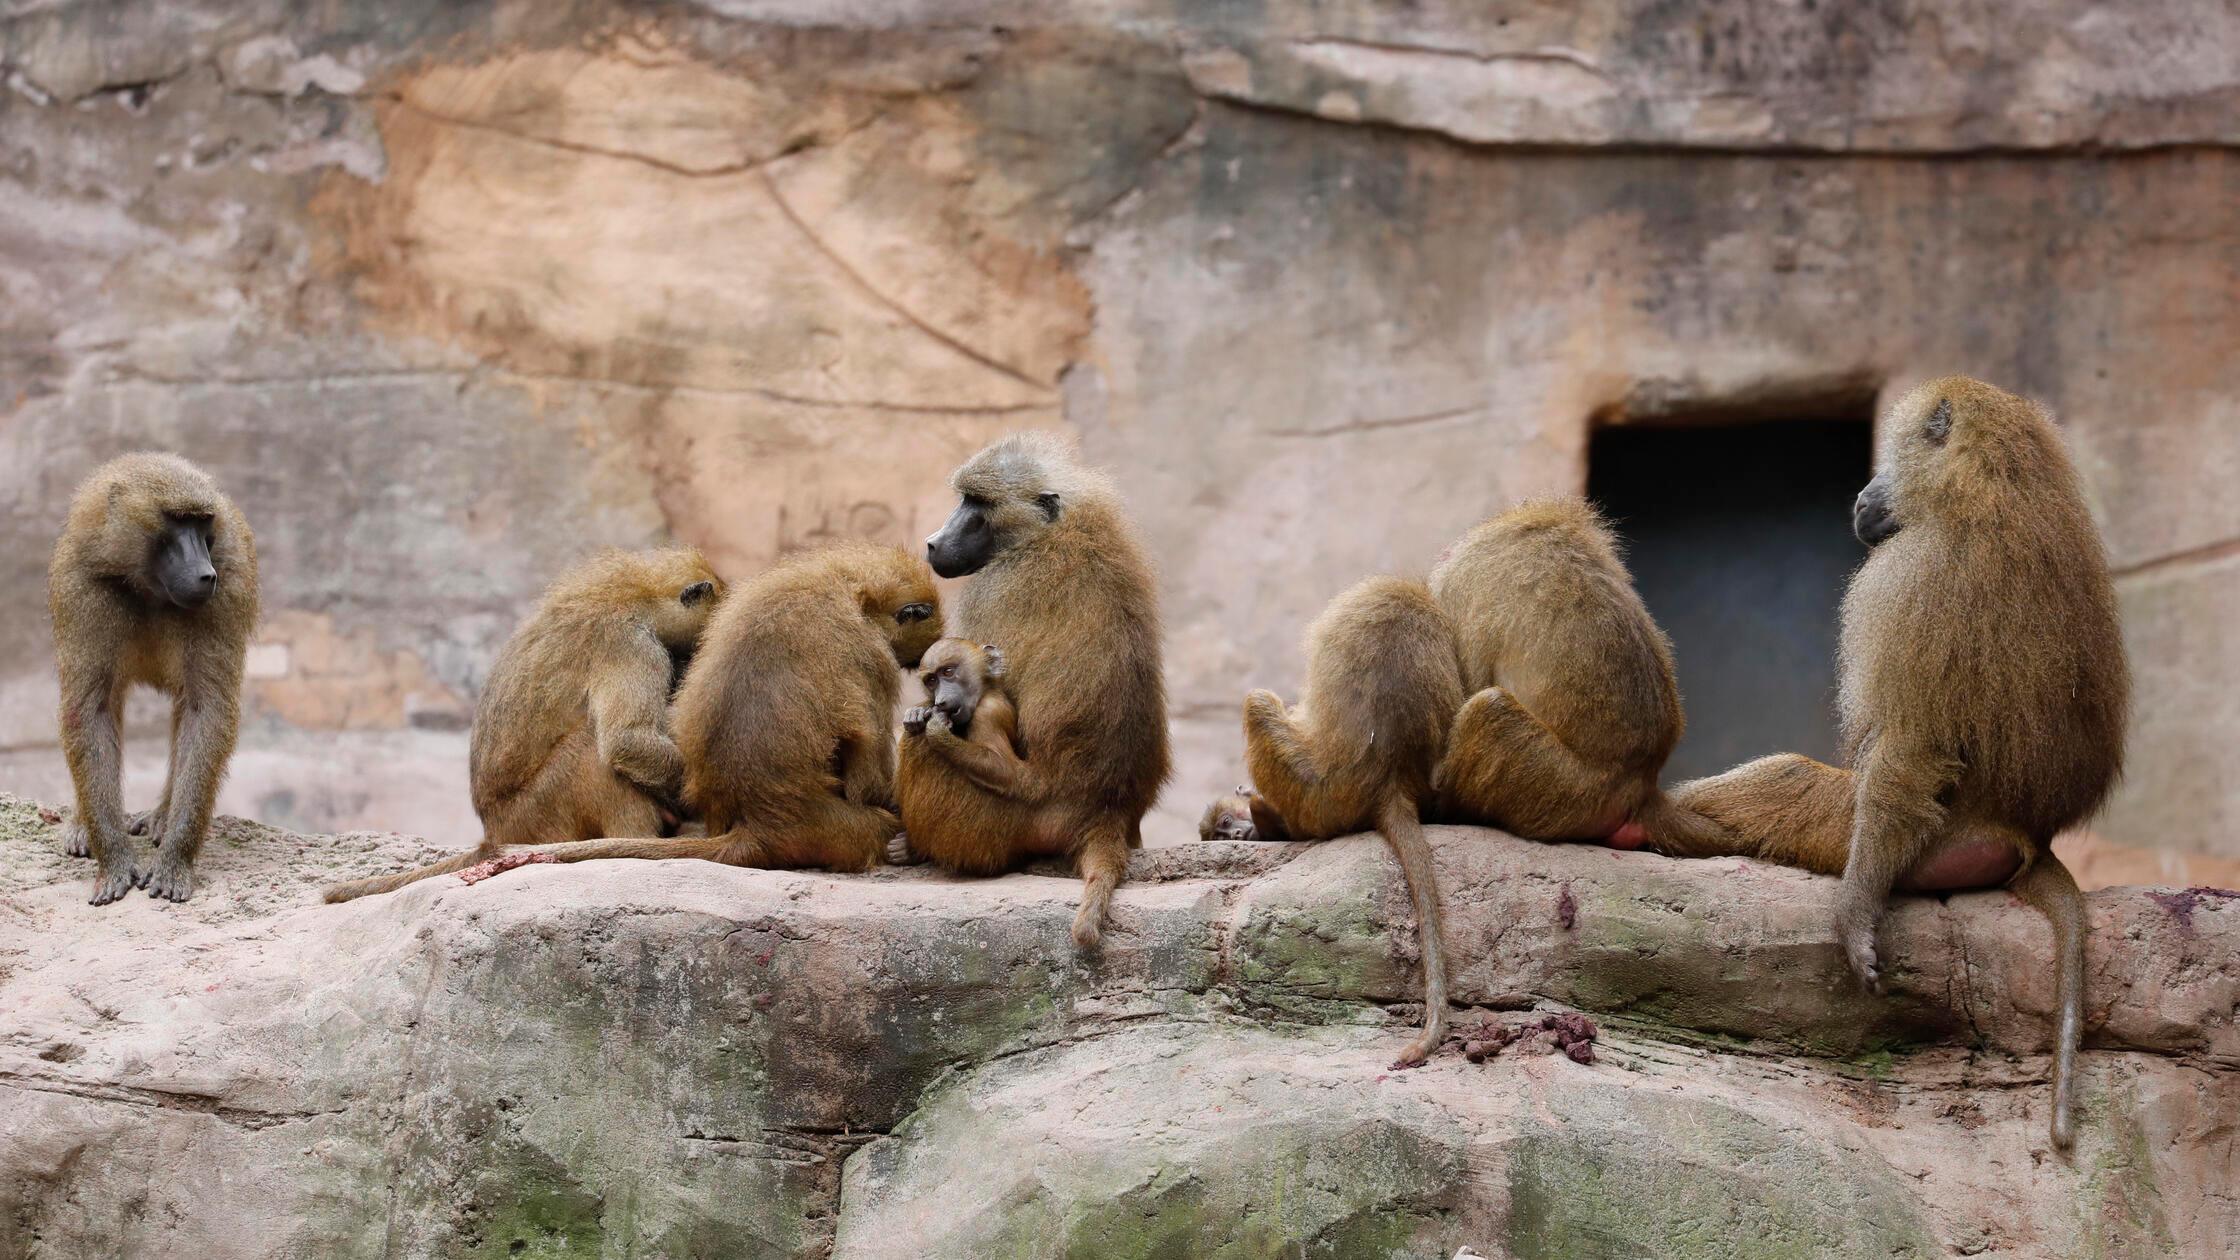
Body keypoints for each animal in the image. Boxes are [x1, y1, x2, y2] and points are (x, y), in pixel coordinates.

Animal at [49, 452, 258, 905]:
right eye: (176, 521)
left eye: (202, 523)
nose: (205, 575)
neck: (147, 586)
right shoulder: (81, 585)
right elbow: (90, 710)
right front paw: (113, 860)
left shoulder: (229, 586)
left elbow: (205, 710)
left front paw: (175, 861)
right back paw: (84, 823)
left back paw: (163, 816)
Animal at [322, 547, 723, 903]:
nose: (688, 669)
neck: (637, 595)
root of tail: (494, 832)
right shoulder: (631, 644)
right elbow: (627, 740)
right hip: (538, 816)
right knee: (587, 745)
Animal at [917, 431, 1170, 950]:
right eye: (965, 498)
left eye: (978, 503)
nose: (932, 543)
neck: (1050, 532)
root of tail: (1107, 806)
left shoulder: (995, 585)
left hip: (1011, 820)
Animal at [1661, 377, 2127, 1150]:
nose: (1860, 497)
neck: (1988, 486)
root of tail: (2028, 834)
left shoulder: (1912, 573)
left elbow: (1912, 749)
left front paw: (1855, 913)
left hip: (1921, 833)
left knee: (1796, 780)